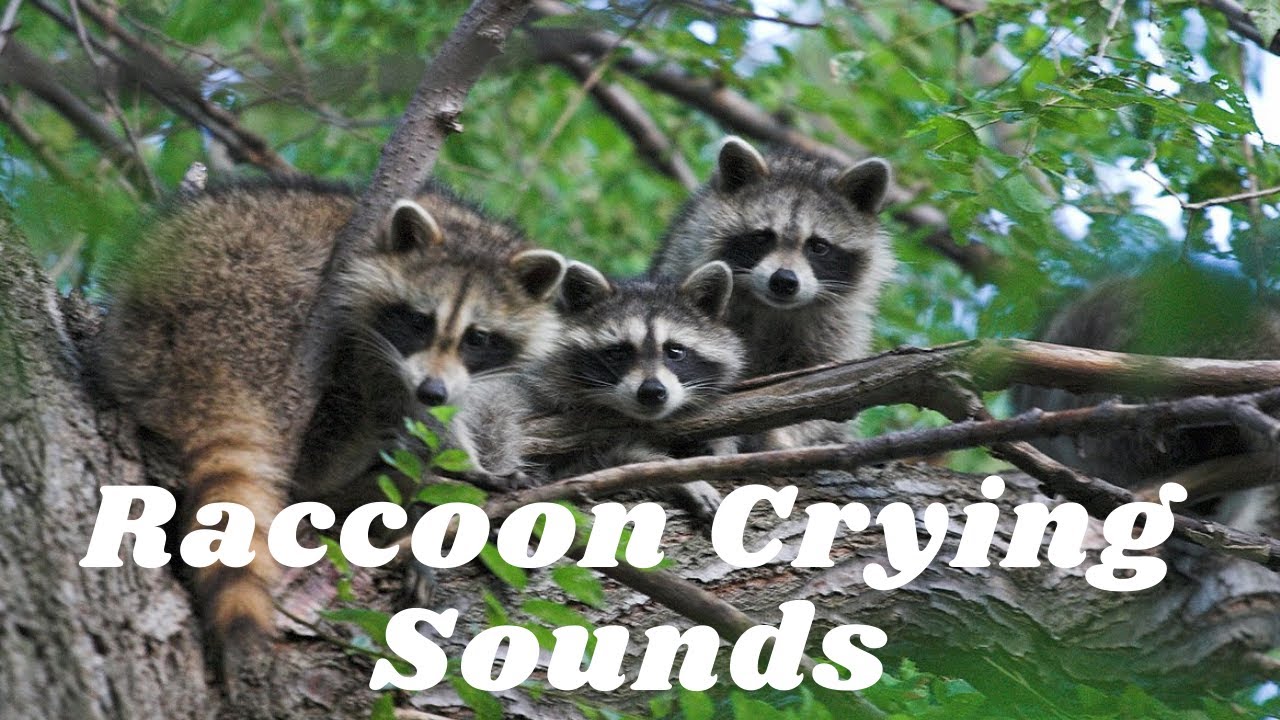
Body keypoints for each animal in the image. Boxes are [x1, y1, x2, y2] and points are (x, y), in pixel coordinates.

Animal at [96, 180, 565, 661]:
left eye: (478, 338)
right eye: (419, 320)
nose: (432, 390)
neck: (465, 227)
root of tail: (198, 343)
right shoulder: (367, 327)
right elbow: (403, 403)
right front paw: (469, 467)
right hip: (274, 304)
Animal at [651, 136, 896, 449]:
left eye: (818, 246)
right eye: (762, 237)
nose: (784, 281)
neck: (774, 309)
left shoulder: (837, 328)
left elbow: (829, 382)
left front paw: (784, 435)